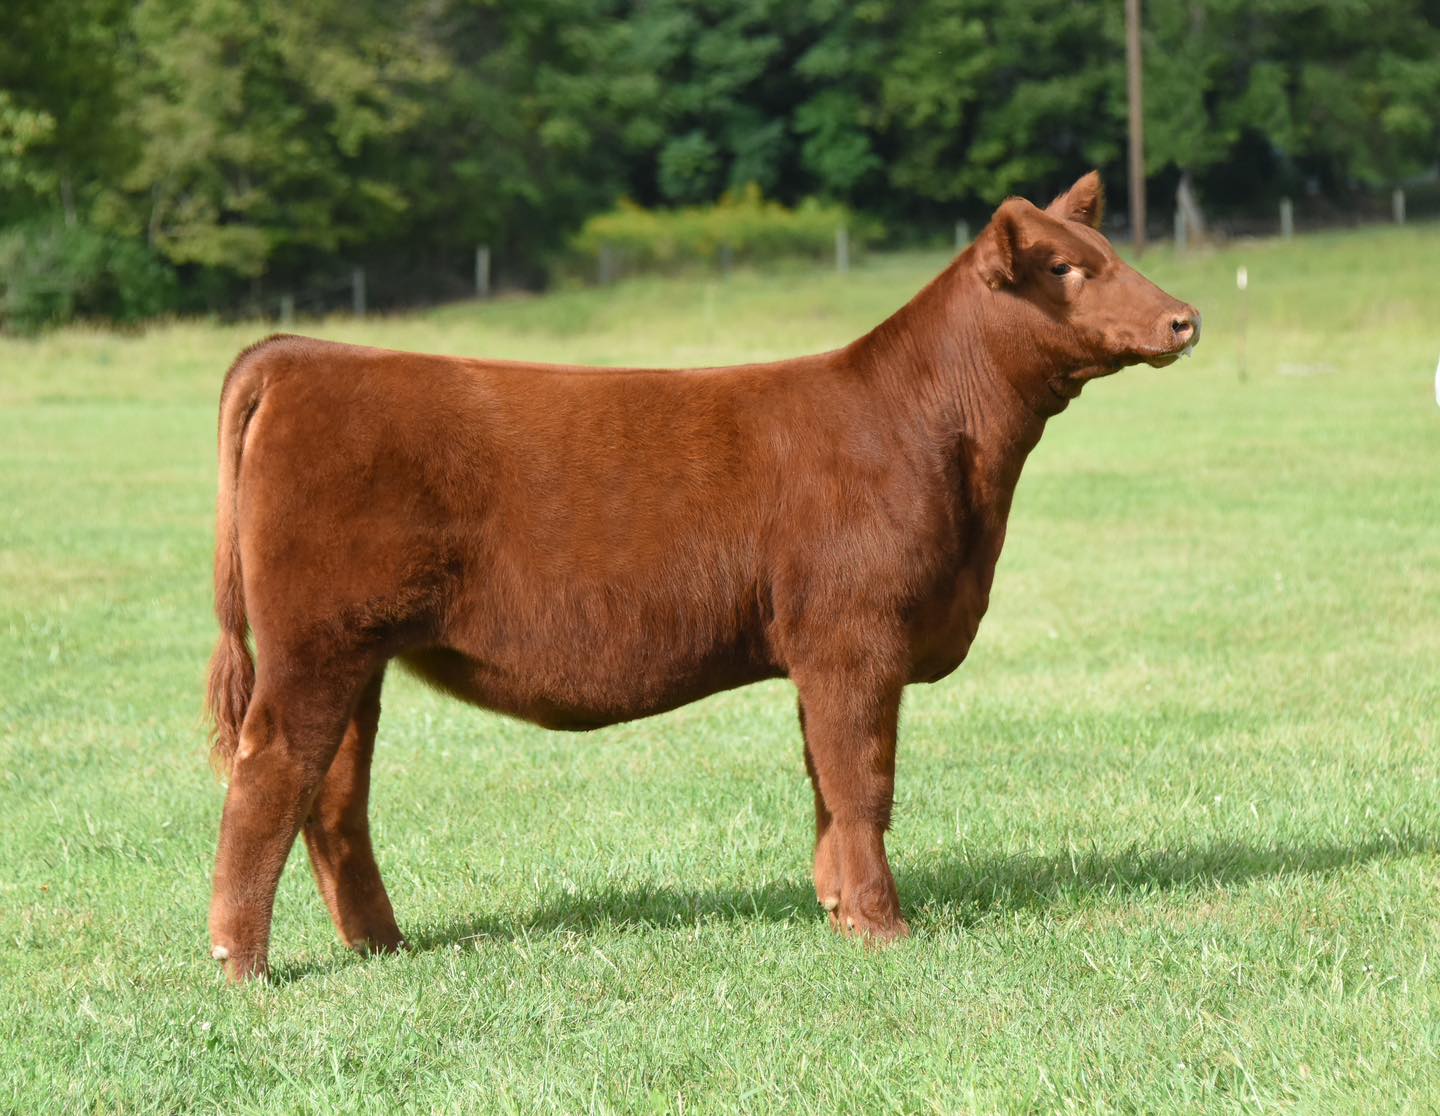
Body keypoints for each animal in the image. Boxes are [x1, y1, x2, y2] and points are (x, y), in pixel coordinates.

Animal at [205, 172, 1200, 980]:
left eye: (1112, 254)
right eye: (1063, 268)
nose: (1184, 318)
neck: (943, 441)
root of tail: (302, 353)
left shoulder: (820, 652)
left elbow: (824, 780)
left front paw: (838, 910)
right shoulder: (857, 637)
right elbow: (861, 781)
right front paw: (883, 927)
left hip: (359, 653)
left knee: (335, 796)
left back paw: (381, 945)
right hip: (315, 644)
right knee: (272, 771)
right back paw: (242, 961)